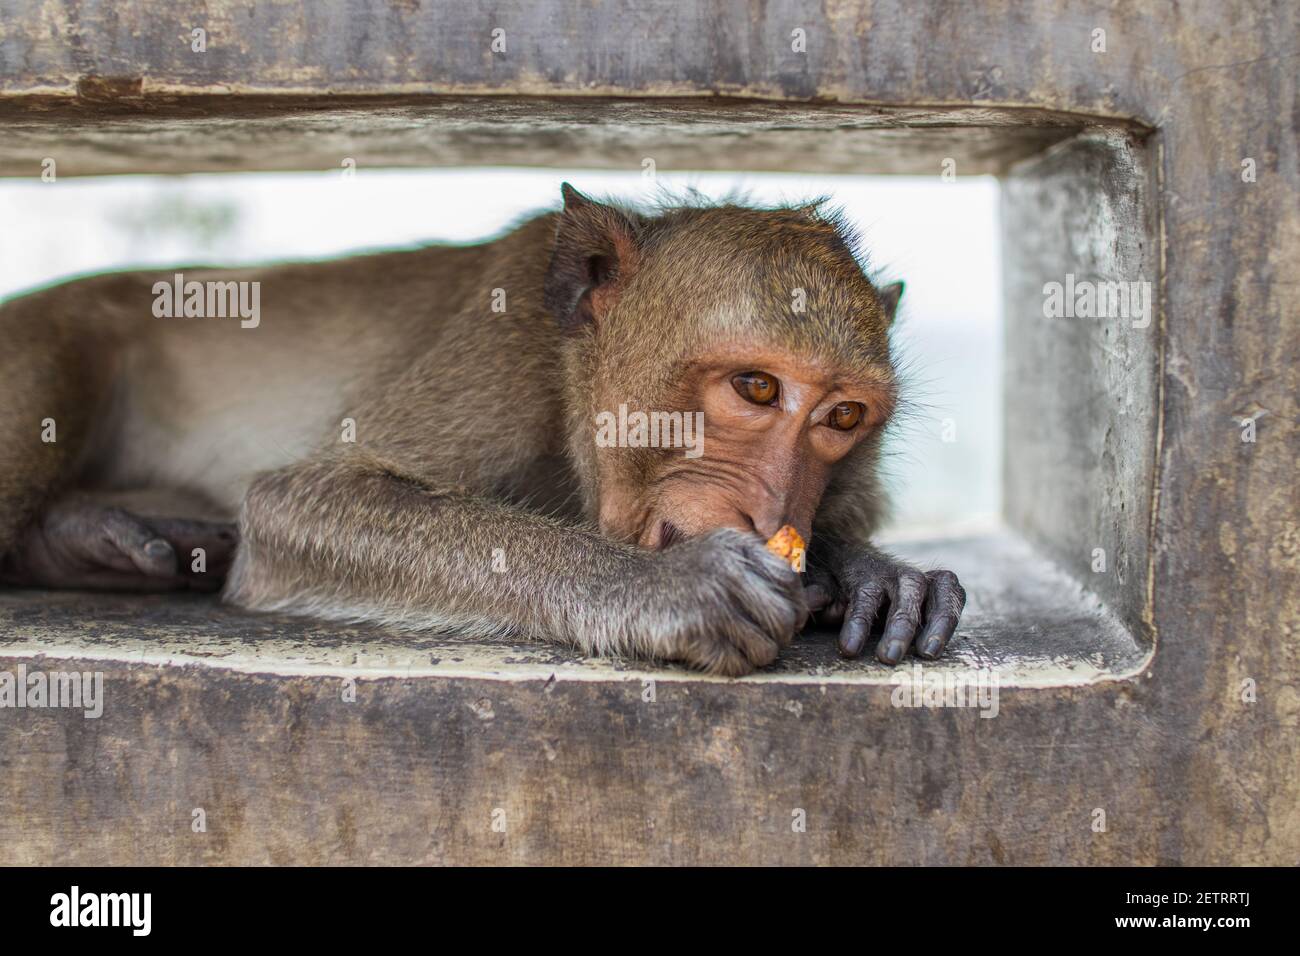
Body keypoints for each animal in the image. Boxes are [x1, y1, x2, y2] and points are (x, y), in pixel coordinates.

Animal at [0, 183, 966, 675]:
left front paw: (874, 575)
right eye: (758, 387)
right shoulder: (500, 351)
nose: (775, 516)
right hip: (49, 336)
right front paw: (670, 588)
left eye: (842, 416)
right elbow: (301, 503)